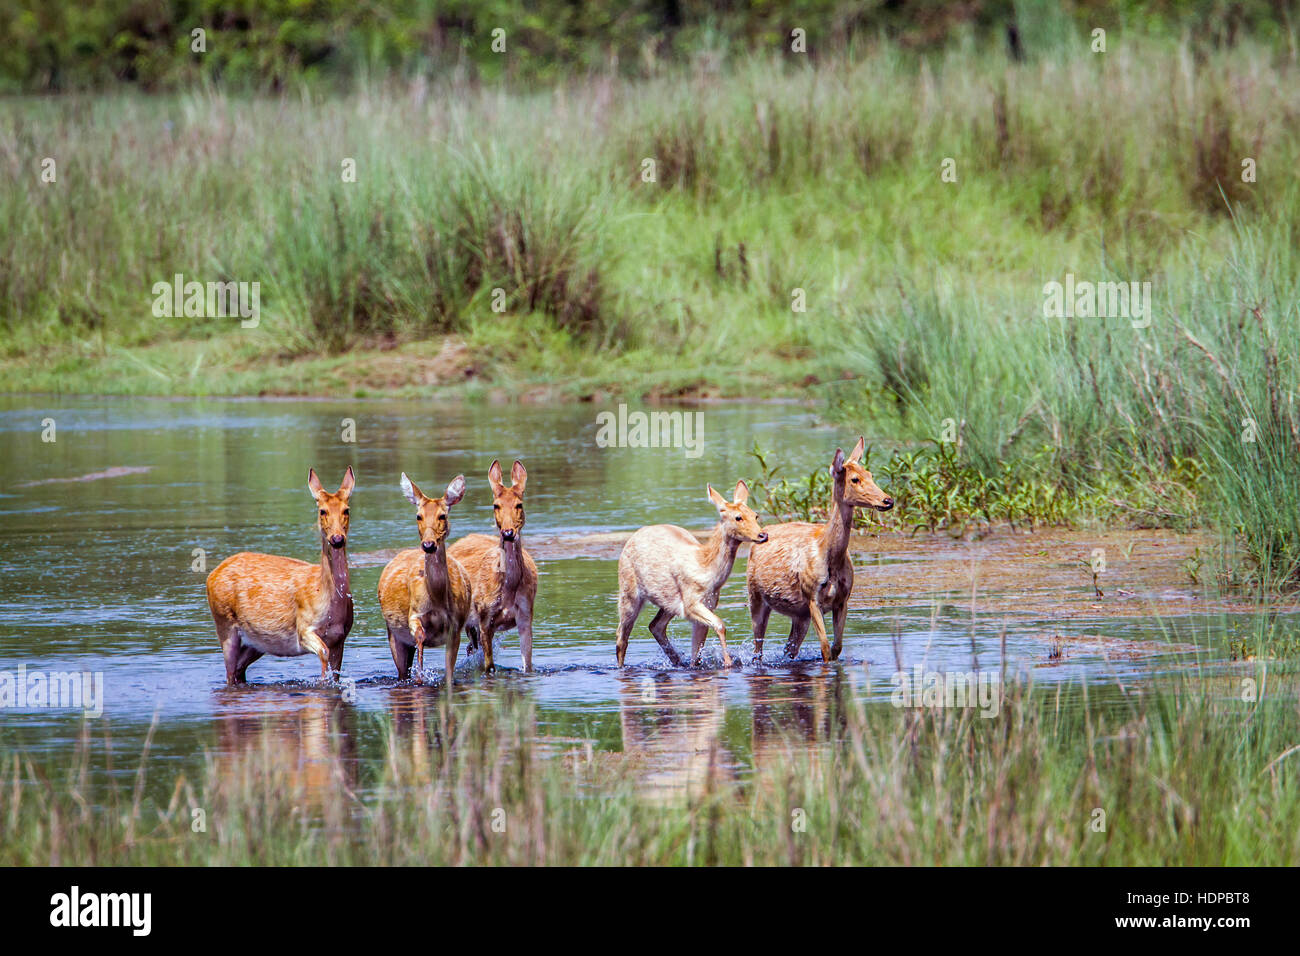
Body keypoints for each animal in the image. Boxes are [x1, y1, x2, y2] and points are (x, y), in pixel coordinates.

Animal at [206, 466, 356, 685]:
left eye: (346, 510)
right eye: (322, 510)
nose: (337, 539)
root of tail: (211, 575)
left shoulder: (340, 637)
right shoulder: (304, 628)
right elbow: (323, 653)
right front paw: (321, 682)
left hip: (258, 641)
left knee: (239, 670)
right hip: (224, 622)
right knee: (230, 672)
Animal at [377, 473, 473, 685]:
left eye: (443, 515)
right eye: (418, 516)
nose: (429, 545)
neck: (437, 599)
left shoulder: (456, 625)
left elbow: (450, 673)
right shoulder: (414, 613)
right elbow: (420, 636)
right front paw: (420, 677)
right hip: (393, 633)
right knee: (402, 670)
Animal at [446, 460, 538, 673]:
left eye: (519, 504)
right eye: (496, 505)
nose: (508, 532)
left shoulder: (526, 613)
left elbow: (528, 665)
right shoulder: (484, 617)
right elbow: (489, 667)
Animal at [615, 480, 767, 668]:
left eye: (755, 515)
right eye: (738, 517)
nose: (763, 535)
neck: (706, 570)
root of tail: (633, 537)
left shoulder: (708, 603)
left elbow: (698, 653)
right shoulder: (690, 602)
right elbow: (720, 624)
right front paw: (728, 662)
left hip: (667, 602)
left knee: (655, 626)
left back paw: (678, 661)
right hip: (628, 591)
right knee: (622, 636)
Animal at [745, 438, 892, 663]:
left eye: (871, 474)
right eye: (855, 479)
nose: (888, 500)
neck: (829, 556)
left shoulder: (842, 600)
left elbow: (836, 648)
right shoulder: (812, 597)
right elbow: (824, 648)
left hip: (799, 614)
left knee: (789, 648)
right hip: (755, 597)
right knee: (757, 650)